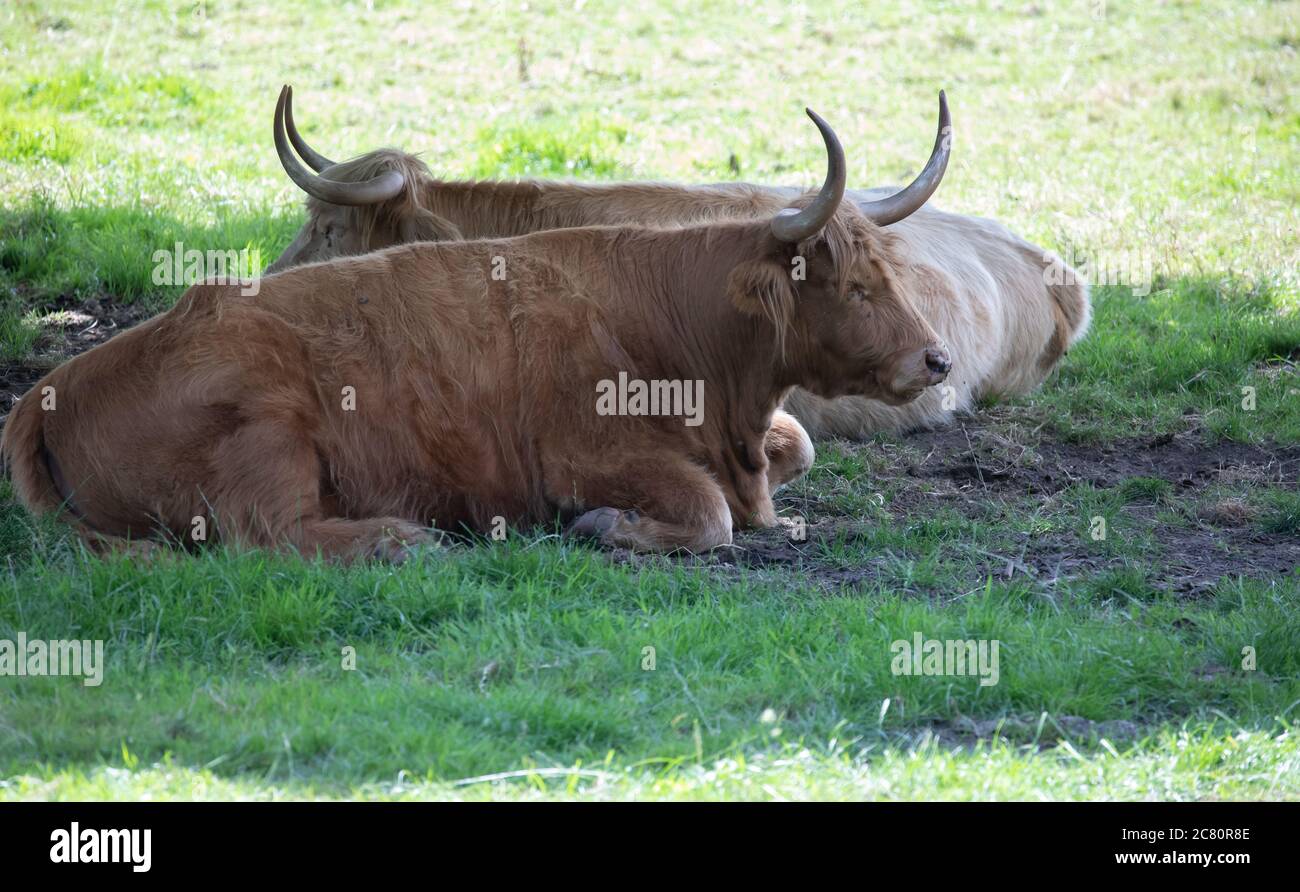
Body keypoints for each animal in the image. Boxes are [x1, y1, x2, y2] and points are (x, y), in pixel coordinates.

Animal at [1, 111, 951, 561]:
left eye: (889, 273)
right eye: (857, 285)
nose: (936, 358)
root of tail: (52, 388)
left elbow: (793, 456)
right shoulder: (587, 455)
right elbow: (708, 515)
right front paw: (605, 526)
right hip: (268, 433)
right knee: (266, 535)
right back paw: (401, 540)